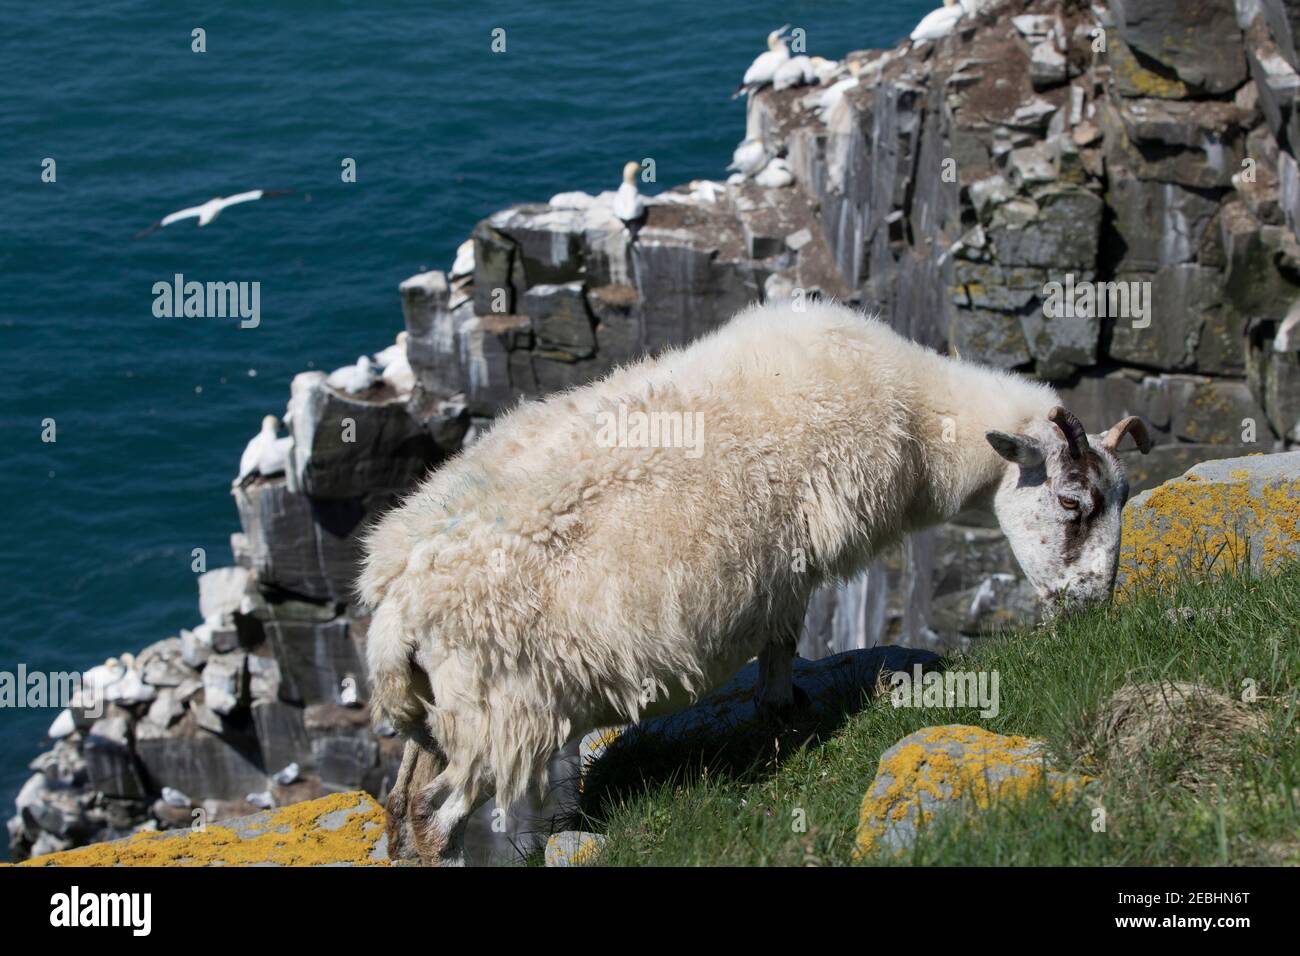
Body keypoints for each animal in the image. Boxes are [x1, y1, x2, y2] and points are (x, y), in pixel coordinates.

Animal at [360, 299, 1151, 864]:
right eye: (1073, 503)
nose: (1094, 611)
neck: (922, 416)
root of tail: (394, 611)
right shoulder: (793, 564)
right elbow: (781, 643)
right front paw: (783, 712)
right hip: (499, 716)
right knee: (432, 818)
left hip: (445, 718)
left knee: (404, 808)